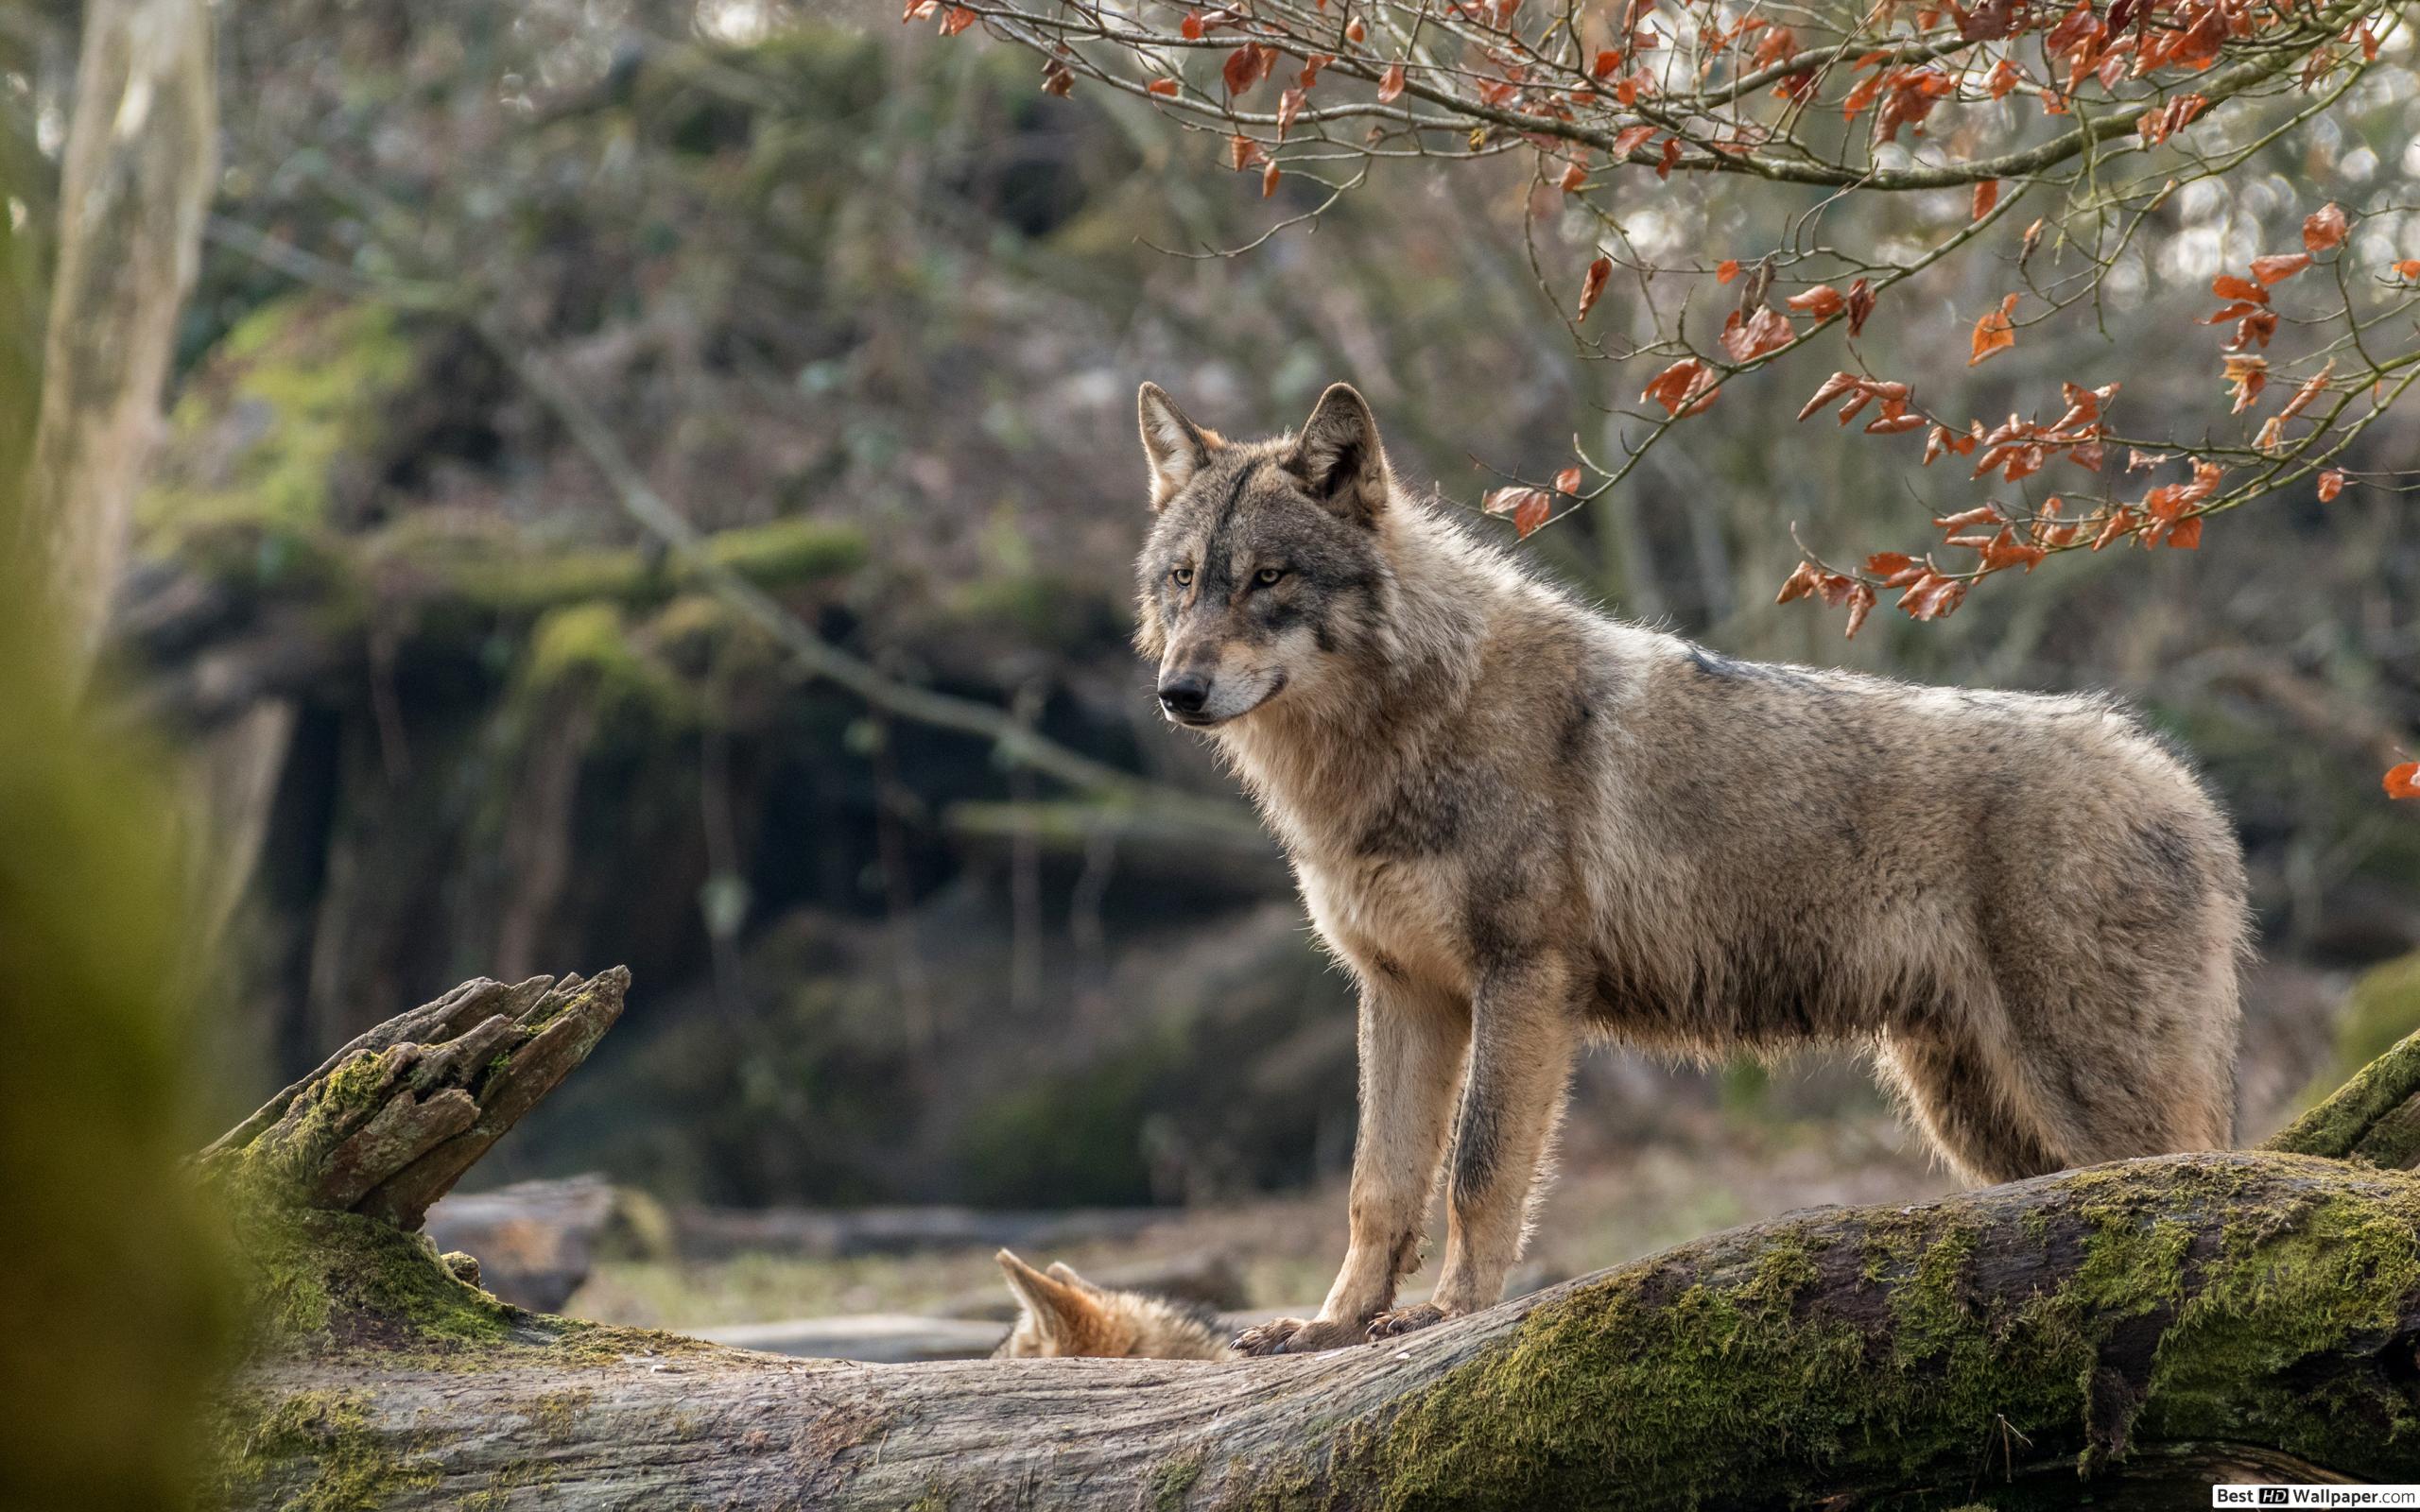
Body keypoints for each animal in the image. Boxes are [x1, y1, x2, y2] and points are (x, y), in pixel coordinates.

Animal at [1131, 380, 2247, 1355]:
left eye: (1268, 577)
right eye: (1184, 579)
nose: (1176, 692)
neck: (1402, 729)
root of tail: (2183, 786)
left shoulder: (1522, 978)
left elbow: (1478, 1170)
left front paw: (1448, 1313)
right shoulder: (1403, 990)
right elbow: (1378, 1186)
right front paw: (1331, 1327)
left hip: (2078, 1096)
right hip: (1976, 1117)